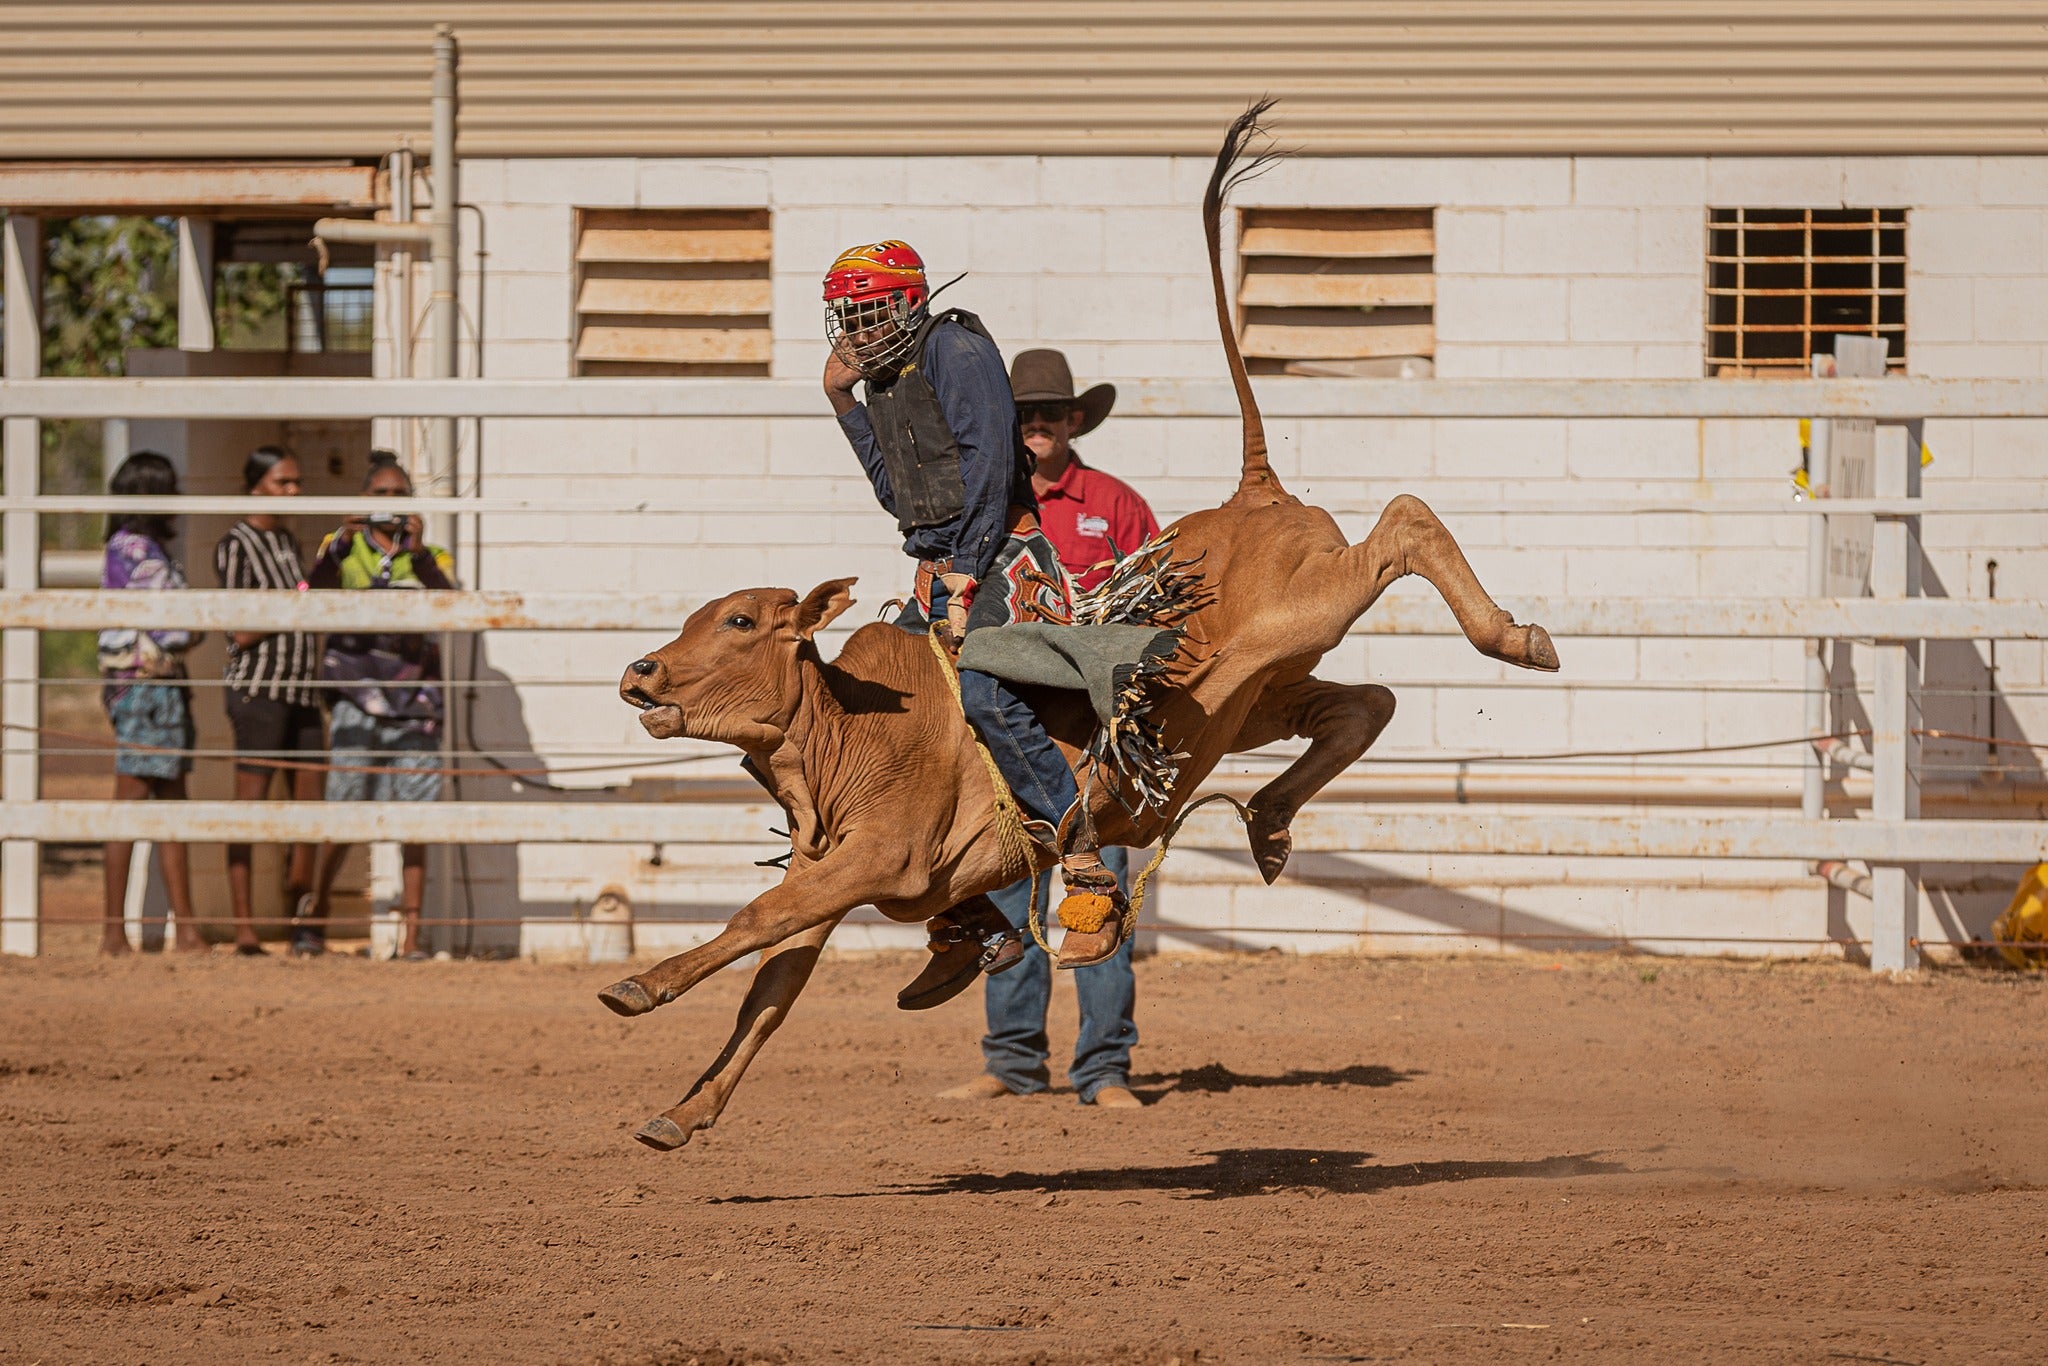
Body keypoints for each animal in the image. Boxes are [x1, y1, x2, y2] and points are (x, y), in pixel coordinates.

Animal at [603, 103, 1559, 1151]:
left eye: (738, 620)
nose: (641, 675)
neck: (844, 730)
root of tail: (1254, 492)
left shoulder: (868, 858)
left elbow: (751, 921)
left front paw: (639, 987)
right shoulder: (832, 875)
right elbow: (768, 991)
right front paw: (685, 1110)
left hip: (1302, 611)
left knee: (1405, 521)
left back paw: (1518, 639)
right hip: (1246, 695)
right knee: (1365, 704)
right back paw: (1269, 825)